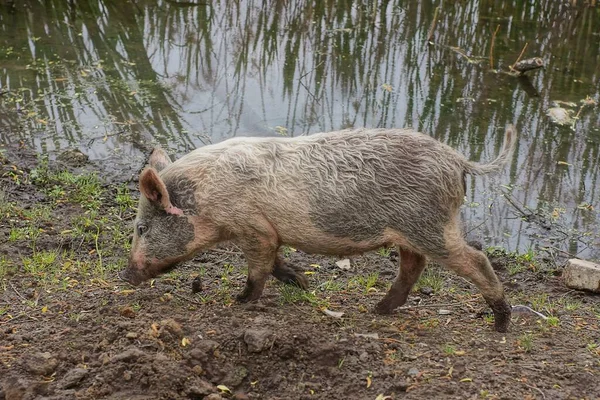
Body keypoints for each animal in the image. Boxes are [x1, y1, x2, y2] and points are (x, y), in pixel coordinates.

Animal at [120, 126, 516, 332]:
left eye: (141, 227)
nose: (125, 275)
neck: (205, 199)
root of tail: (457, 160)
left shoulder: (254, 228)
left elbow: (259, 268)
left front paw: (240, 301)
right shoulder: (266, 232)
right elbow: (276, 262)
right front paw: (303, 284)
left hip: (431, 226)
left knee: (475, 259)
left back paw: (500, 323)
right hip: (412, 232)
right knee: (413, 266)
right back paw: (378, 310)